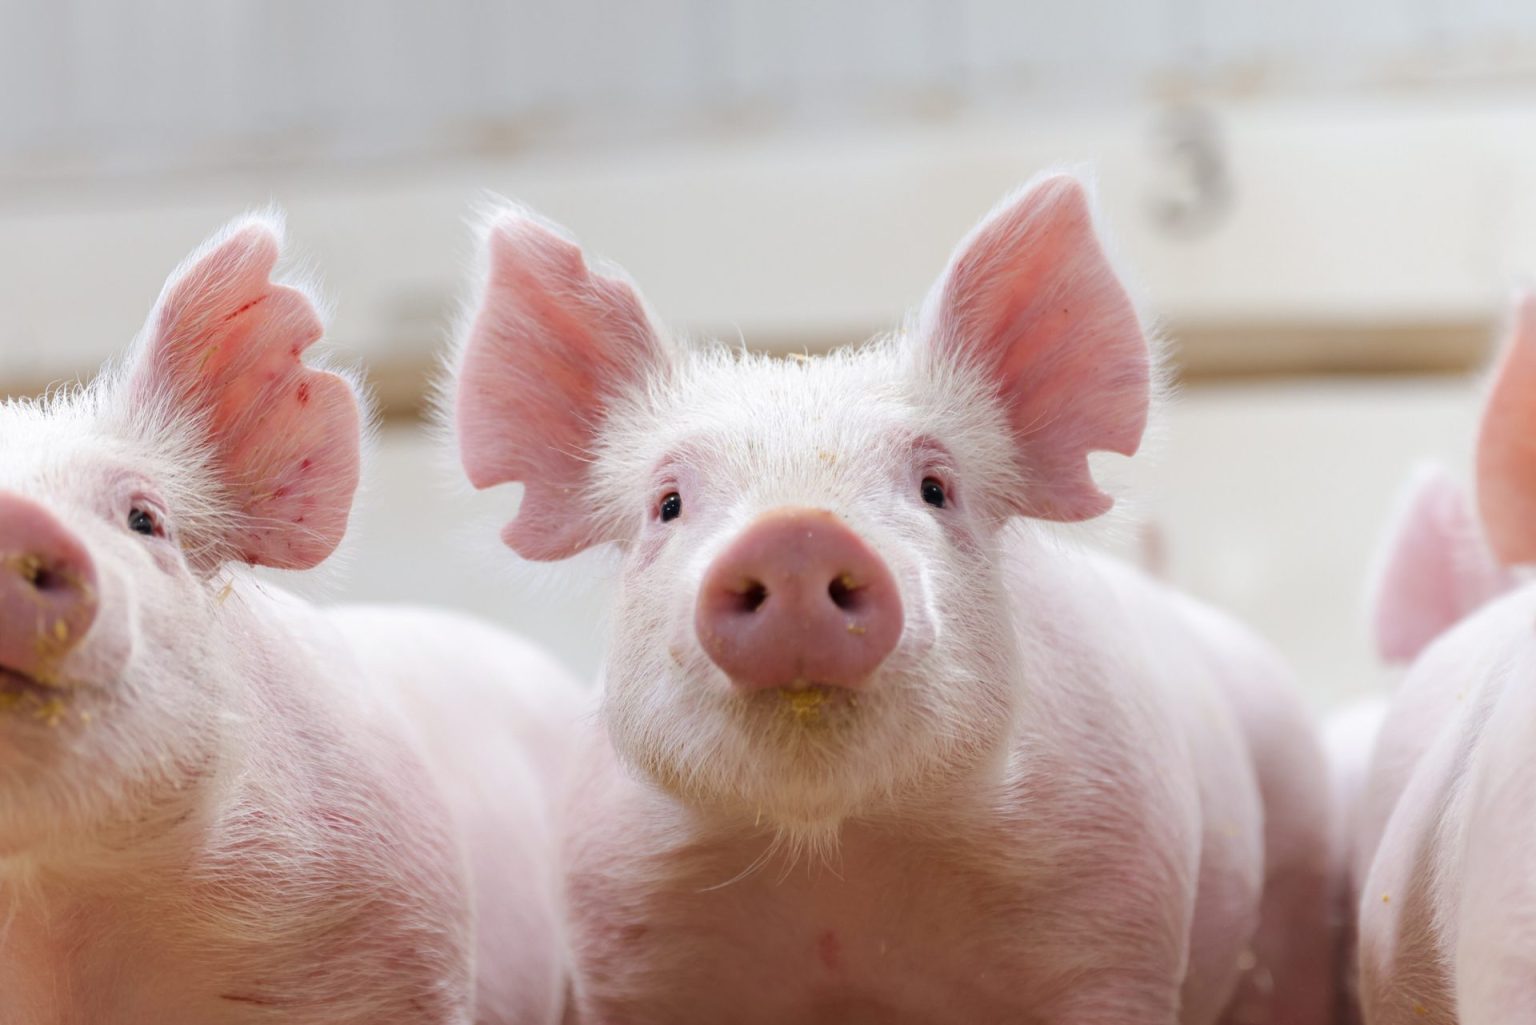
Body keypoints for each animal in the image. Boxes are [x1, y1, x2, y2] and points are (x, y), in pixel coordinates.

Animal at [448, 172, 1333, 1025]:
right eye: (667, 504)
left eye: (936, 487)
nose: (798, 532)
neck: (838, 867)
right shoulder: (619, 949)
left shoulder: (1121, 926)